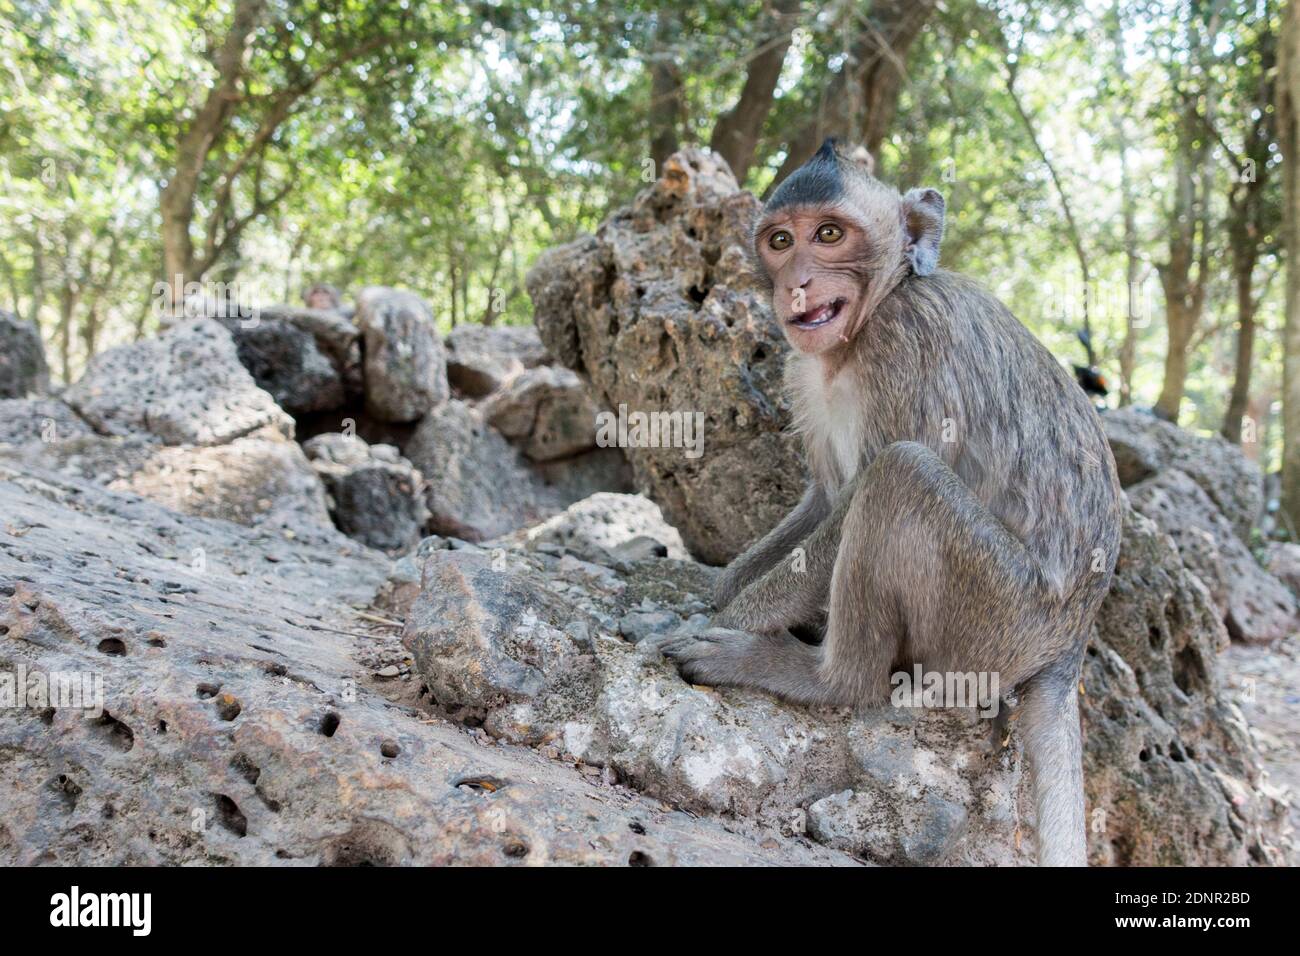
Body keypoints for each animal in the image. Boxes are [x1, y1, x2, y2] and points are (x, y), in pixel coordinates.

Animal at [655, 139, 1123, 866]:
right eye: (781, 241)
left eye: (829, 234)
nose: (797, 283)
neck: (874, 312)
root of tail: (1069, 646)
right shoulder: (803, 368)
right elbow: (824, 496)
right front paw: (729, 586)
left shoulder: (907, 344)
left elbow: (853, 501)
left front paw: (727, 620)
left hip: (995, 620)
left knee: (900, 474)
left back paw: (823, 677)